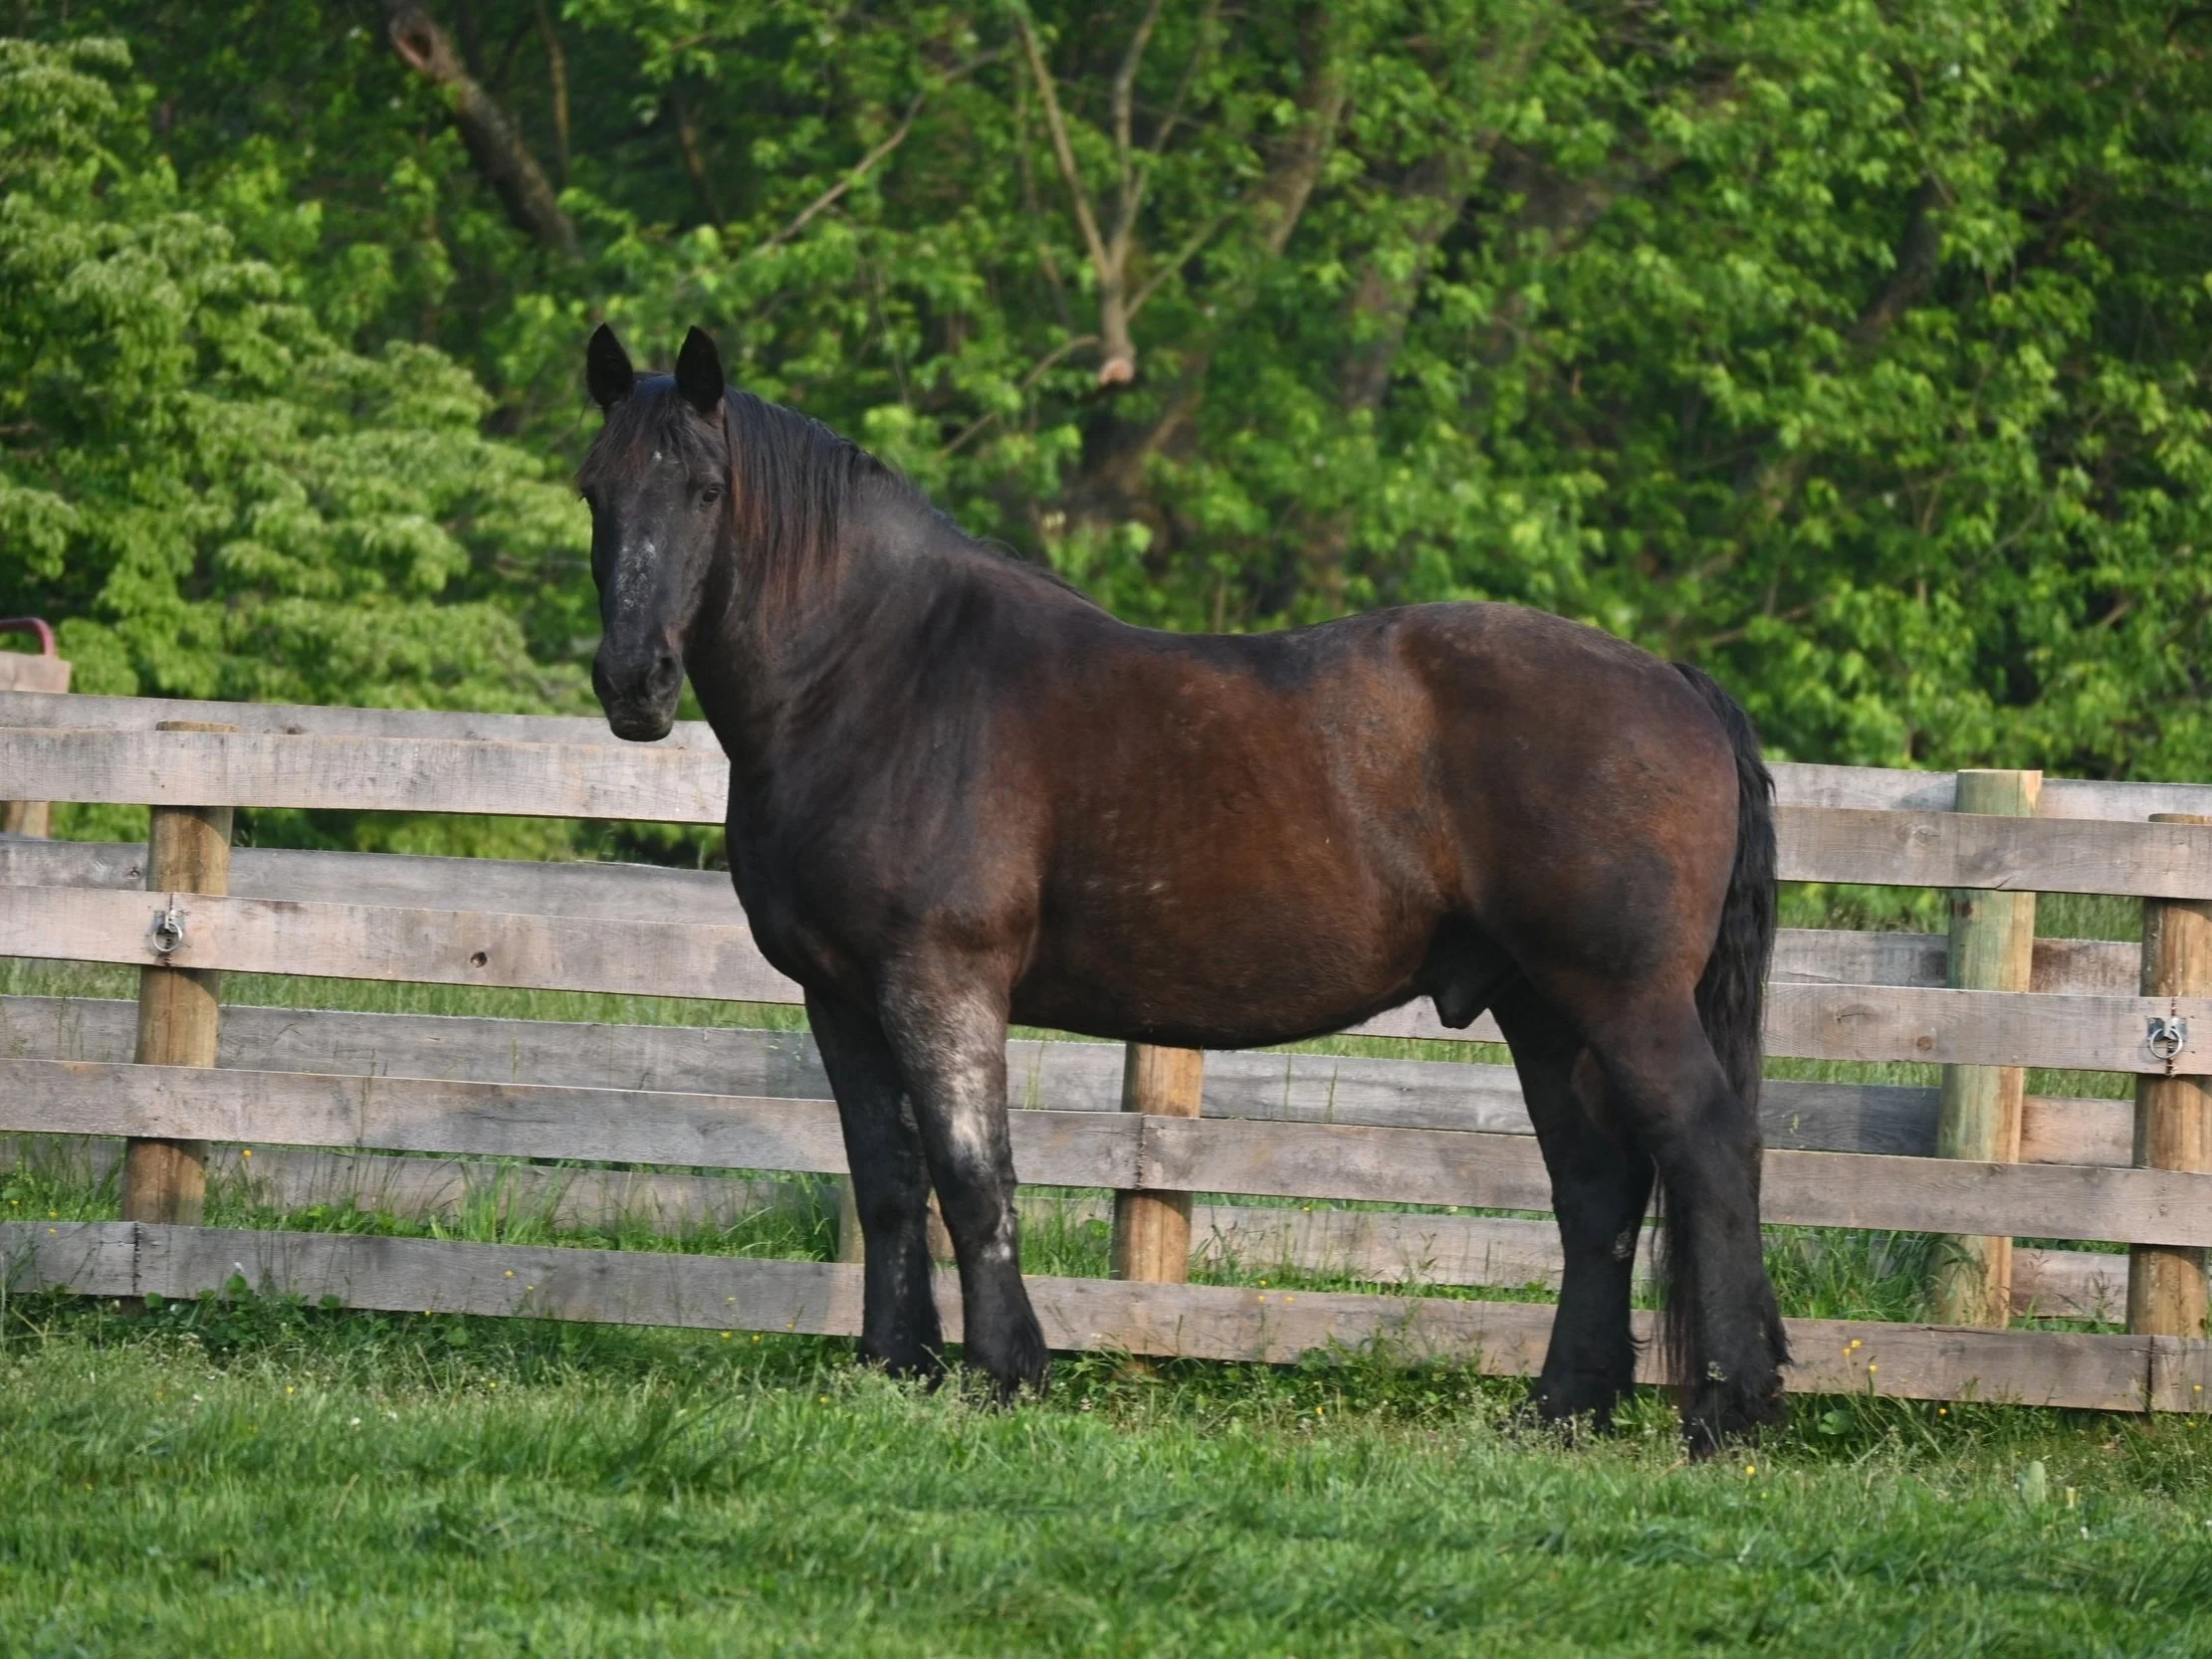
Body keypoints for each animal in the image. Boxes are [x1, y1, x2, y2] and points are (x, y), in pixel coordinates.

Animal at [577, 324, 1787, 1450]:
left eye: (706, 489)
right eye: (595, 488)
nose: (633, 682)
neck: (881, 676)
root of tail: (1672, 680)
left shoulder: (940, 980)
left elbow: (973, 1177)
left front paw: (1006, 1372)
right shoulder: (839, 995)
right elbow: (886, 1178)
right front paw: (895, 1366)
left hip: (1622, 997)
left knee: (1708, 1150)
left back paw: (1729, 1406)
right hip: (1543, 1008)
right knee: (1597, 1190)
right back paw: (1563, 1407)